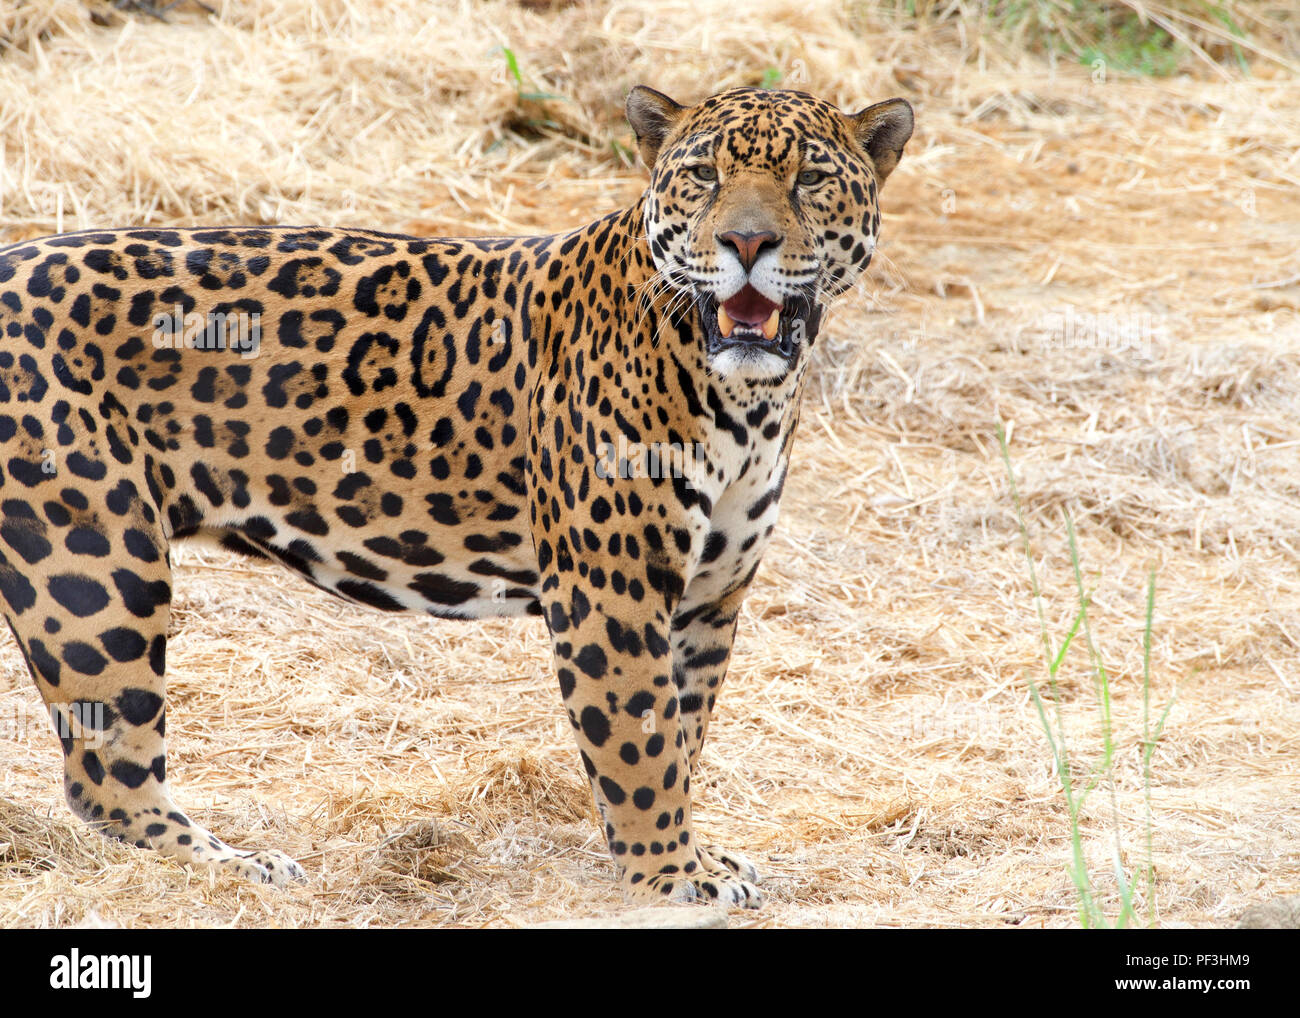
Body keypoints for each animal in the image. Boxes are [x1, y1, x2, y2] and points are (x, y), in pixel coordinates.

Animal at [0, 85, 912, 908]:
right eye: (703, 174)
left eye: (810, 179)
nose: (745, 241)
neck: (749, 401)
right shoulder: (612, 590)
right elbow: (641, 737)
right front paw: (671, 872)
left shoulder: (711, 597)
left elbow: (685, 732)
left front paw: (693, 851)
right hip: (96, 567)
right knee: (107, 774)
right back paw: (242, 867)